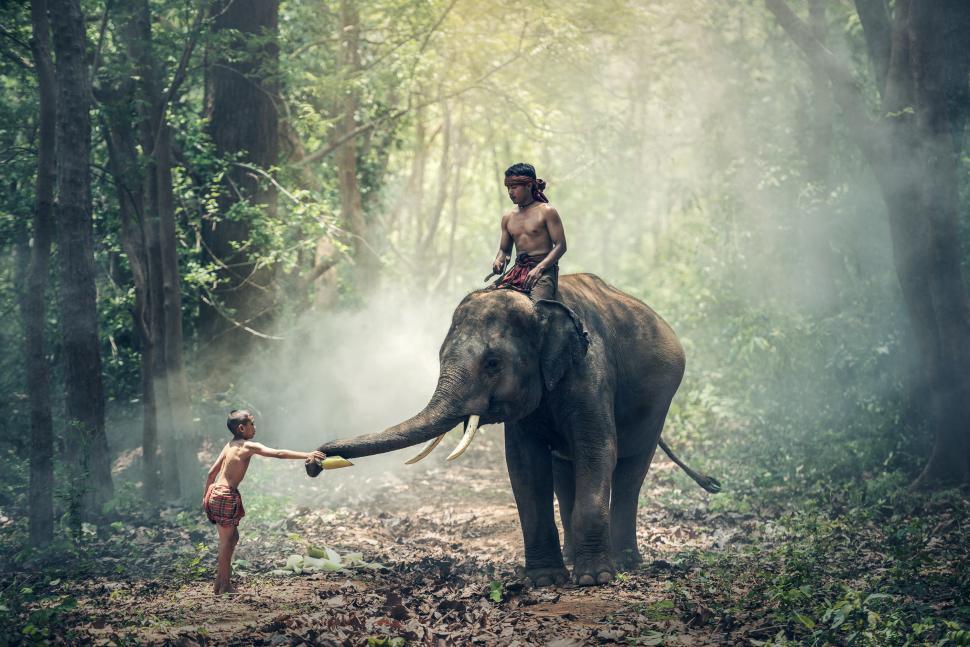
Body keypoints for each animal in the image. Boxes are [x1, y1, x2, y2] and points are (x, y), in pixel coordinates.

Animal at [306, 273, 720, 586]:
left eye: (492, 363)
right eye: (440, 358)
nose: (314, 461)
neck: (540, 307)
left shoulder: (591, 373)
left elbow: (598, 450)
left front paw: (594, 580)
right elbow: (524, 465)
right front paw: (546, 580)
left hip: (660, 403)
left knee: (631, 470)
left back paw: (625, 562)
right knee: (564, 472)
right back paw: (575, 557)